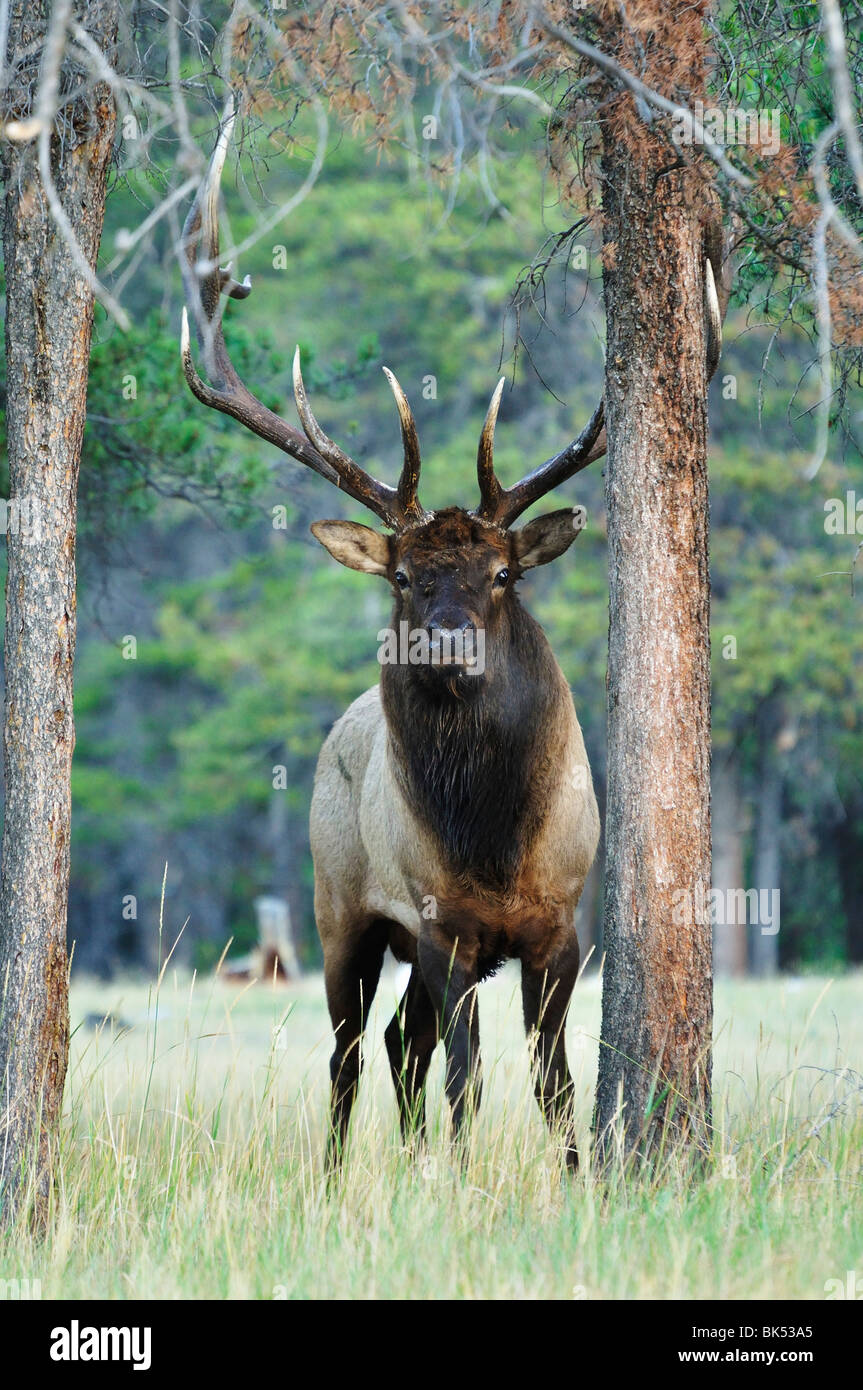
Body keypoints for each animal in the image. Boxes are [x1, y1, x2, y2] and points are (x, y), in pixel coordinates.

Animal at [180, 111, 723, 1173]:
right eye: (402, 577)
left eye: (502, 575)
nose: (445, 648)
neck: (491, 846)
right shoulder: (441, 925)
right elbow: (470, 1081)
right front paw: (462, 1176)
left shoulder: (560, 925)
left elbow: (555, 1081)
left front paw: (574, 1175)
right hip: (340, 911)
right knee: (354, 1050)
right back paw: (337, 1173)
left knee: (400, 1042)